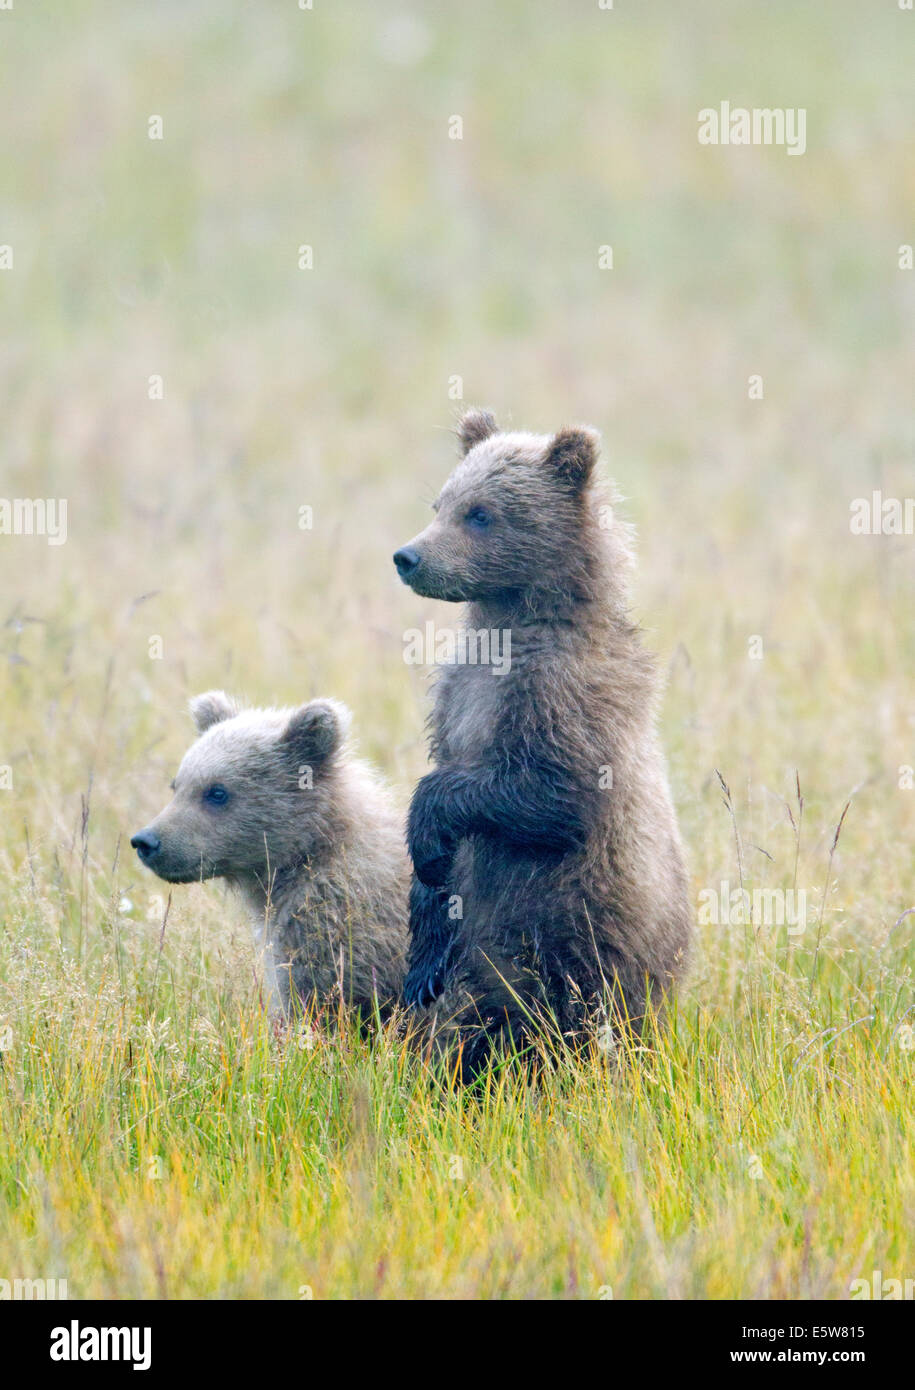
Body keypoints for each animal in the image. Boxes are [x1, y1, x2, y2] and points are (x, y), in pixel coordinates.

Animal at [393, 409, 691, 1074]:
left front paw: (427, 830)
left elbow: (554, 795)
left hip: (582, 939)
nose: (408, 556)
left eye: (480, 513)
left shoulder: (566, 698)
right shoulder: (456, 696)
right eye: (441, 502)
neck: (511, 626)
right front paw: (422, 945)